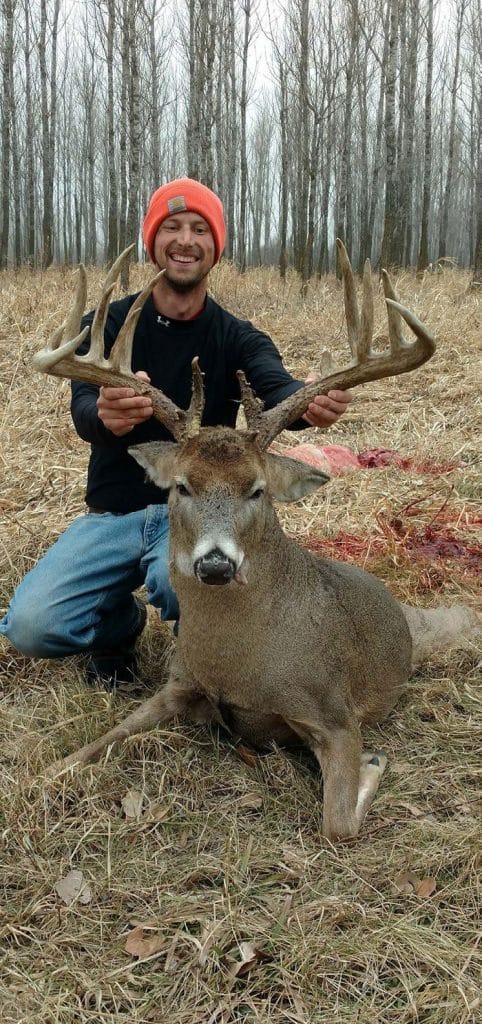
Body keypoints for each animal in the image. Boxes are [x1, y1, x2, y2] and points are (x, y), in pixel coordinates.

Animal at [32, 241, 479, 842]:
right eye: (182, 486)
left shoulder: (334, 713)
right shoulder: (178, 686)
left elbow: (338, 824)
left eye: (257, 489)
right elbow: (74, 755)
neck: (239, 665)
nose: (216, 565)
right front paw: (43, 772)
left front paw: (372, 763)